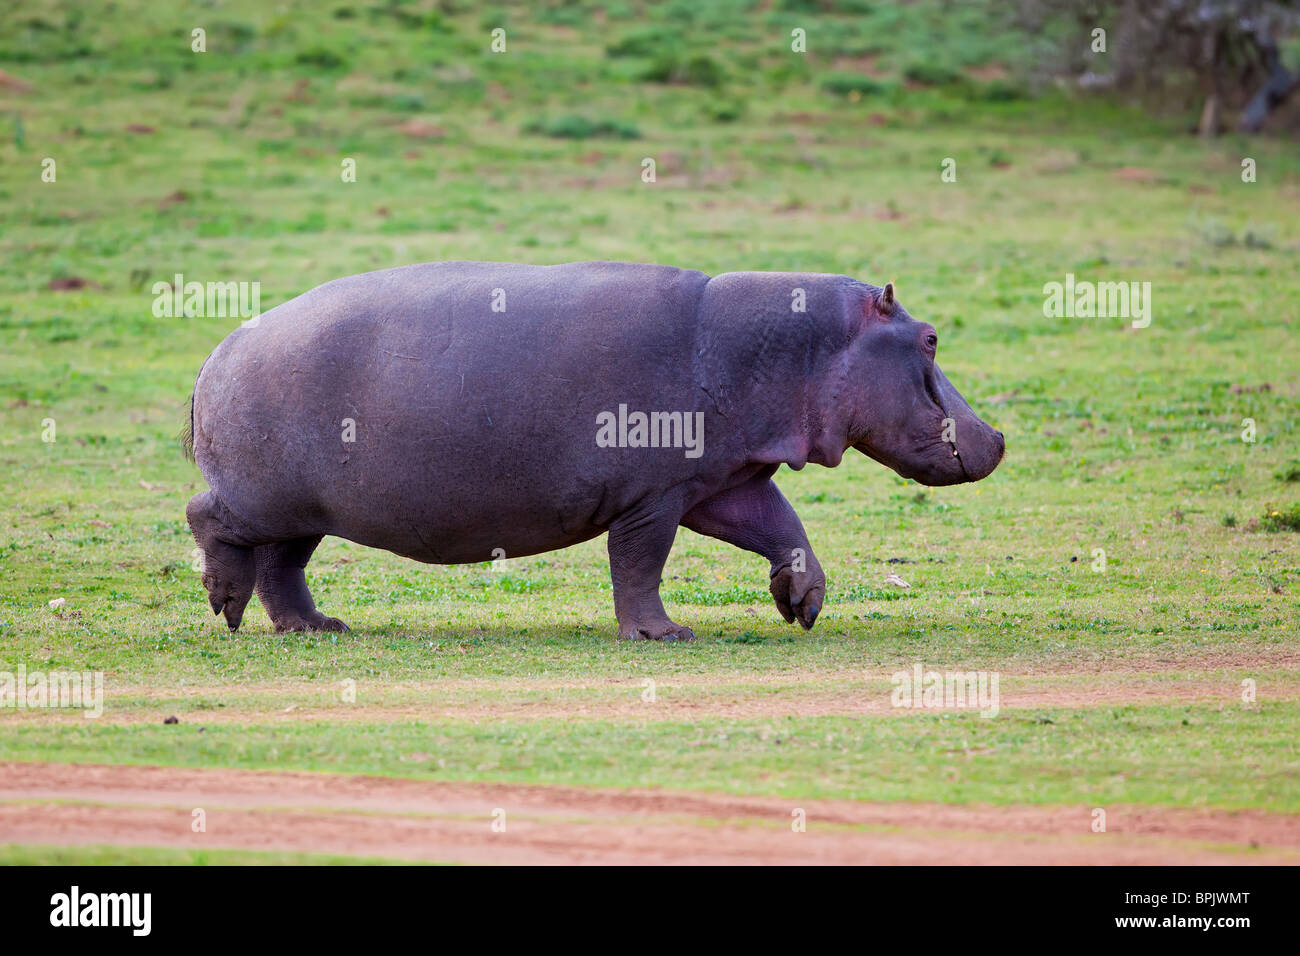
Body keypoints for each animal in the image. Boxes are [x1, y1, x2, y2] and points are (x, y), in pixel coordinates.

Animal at [183, 261, 1004, 640]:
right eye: (931, 339)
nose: (997, 438)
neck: (793, 344)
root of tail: (219, 349)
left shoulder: (721, 481)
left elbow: (783, 528)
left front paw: (801, 606)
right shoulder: (655, 497)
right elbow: (641, 561)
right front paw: (665, 636)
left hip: (304, 506)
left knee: (283, 566)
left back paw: (317, 628)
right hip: (263, 494)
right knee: (209, 519)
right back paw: (224, 607)